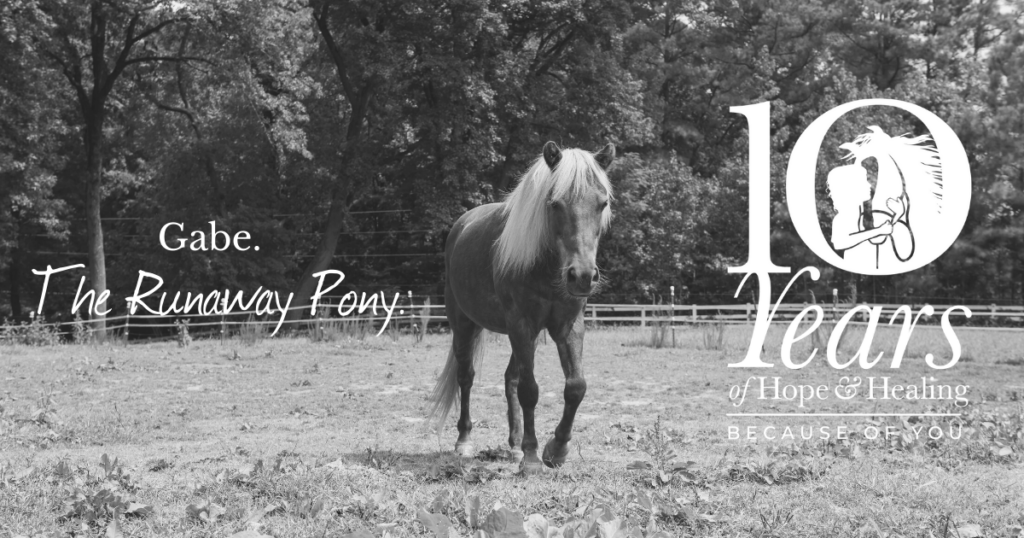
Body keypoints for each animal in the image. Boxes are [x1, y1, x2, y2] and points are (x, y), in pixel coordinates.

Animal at [429, 141, 615, 474]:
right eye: (554, 204)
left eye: (602, 203)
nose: (582, 276)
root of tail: (461, 226)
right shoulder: (521, 324)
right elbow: (530, 390)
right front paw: (531, 458)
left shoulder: (567, 326)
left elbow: (575, 386)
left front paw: (556, 450)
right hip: (463, 323)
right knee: (467, 376)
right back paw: (465, 442)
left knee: (509, 380)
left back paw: (514, 445)